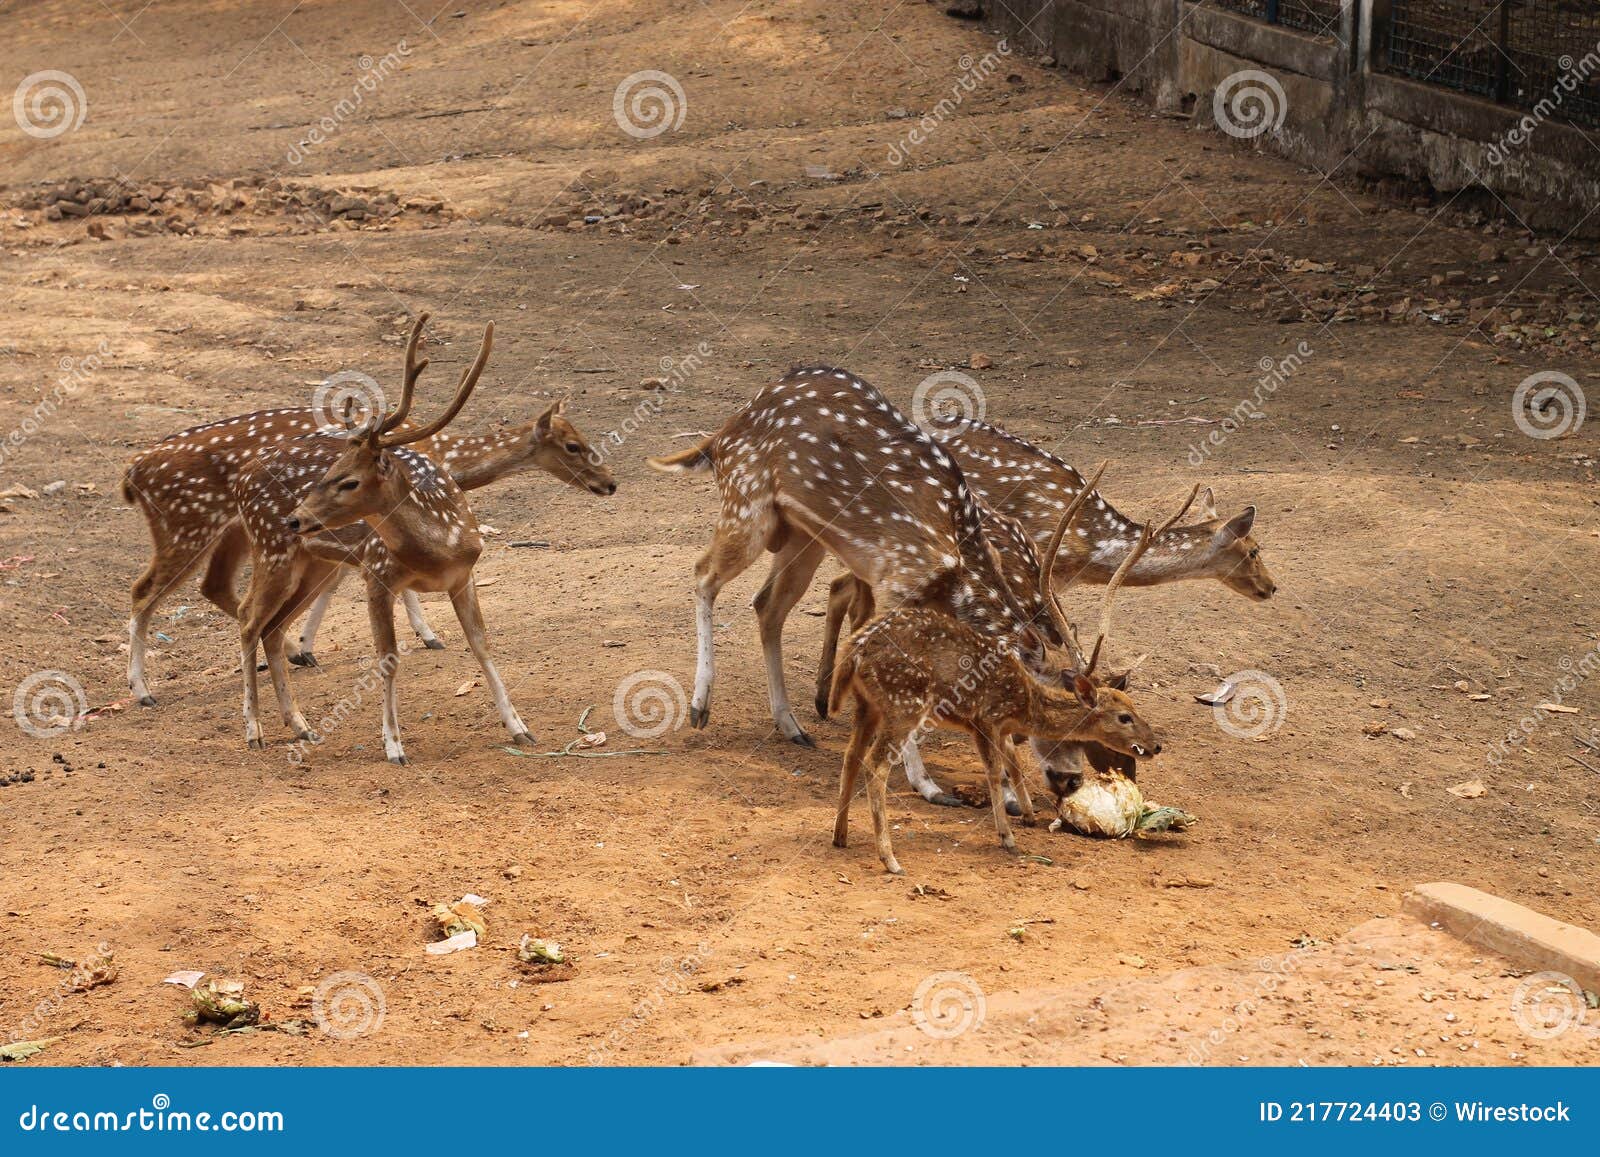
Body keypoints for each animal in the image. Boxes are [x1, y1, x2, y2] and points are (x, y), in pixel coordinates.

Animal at [121, 320, 614, 705]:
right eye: (573, 445)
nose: (610, 482)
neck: (445, 456)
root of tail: (132, 473)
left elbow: (340, 576)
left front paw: (308, 644)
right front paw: (427, 633)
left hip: (233, 531)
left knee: (215, 587)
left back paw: (277, 657)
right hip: (189, 524)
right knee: (144, 589)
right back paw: (143, 690)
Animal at [229, 315, 536, 763]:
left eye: (349, 480)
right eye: (330, 469)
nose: (295, 519)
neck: (437, 553)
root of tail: (241, 481)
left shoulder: (465, 576)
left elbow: (482, 645)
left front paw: (519, 728)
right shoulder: (377, 574)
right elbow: (387, 659)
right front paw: (393, 745)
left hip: (313, 565)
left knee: (273, 626)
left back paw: (302, 726)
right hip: (271, 551)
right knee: (249, 618)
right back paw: (254, 729)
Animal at [828, 501, 1163, 874]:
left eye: (1134, 707)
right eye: (1123, 717)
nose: (1154, 746)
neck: (1026, 702)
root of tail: (855, 651)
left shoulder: (997, 727)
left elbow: (1011, 762)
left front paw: (1027, 814)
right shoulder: (985, 718)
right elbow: (993, 770)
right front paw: (1008, 837)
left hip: (868, 705)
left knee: (851, 756)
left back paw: (840, 835)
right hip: (904, 703)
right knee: (876, 765)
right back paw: (890, 858)